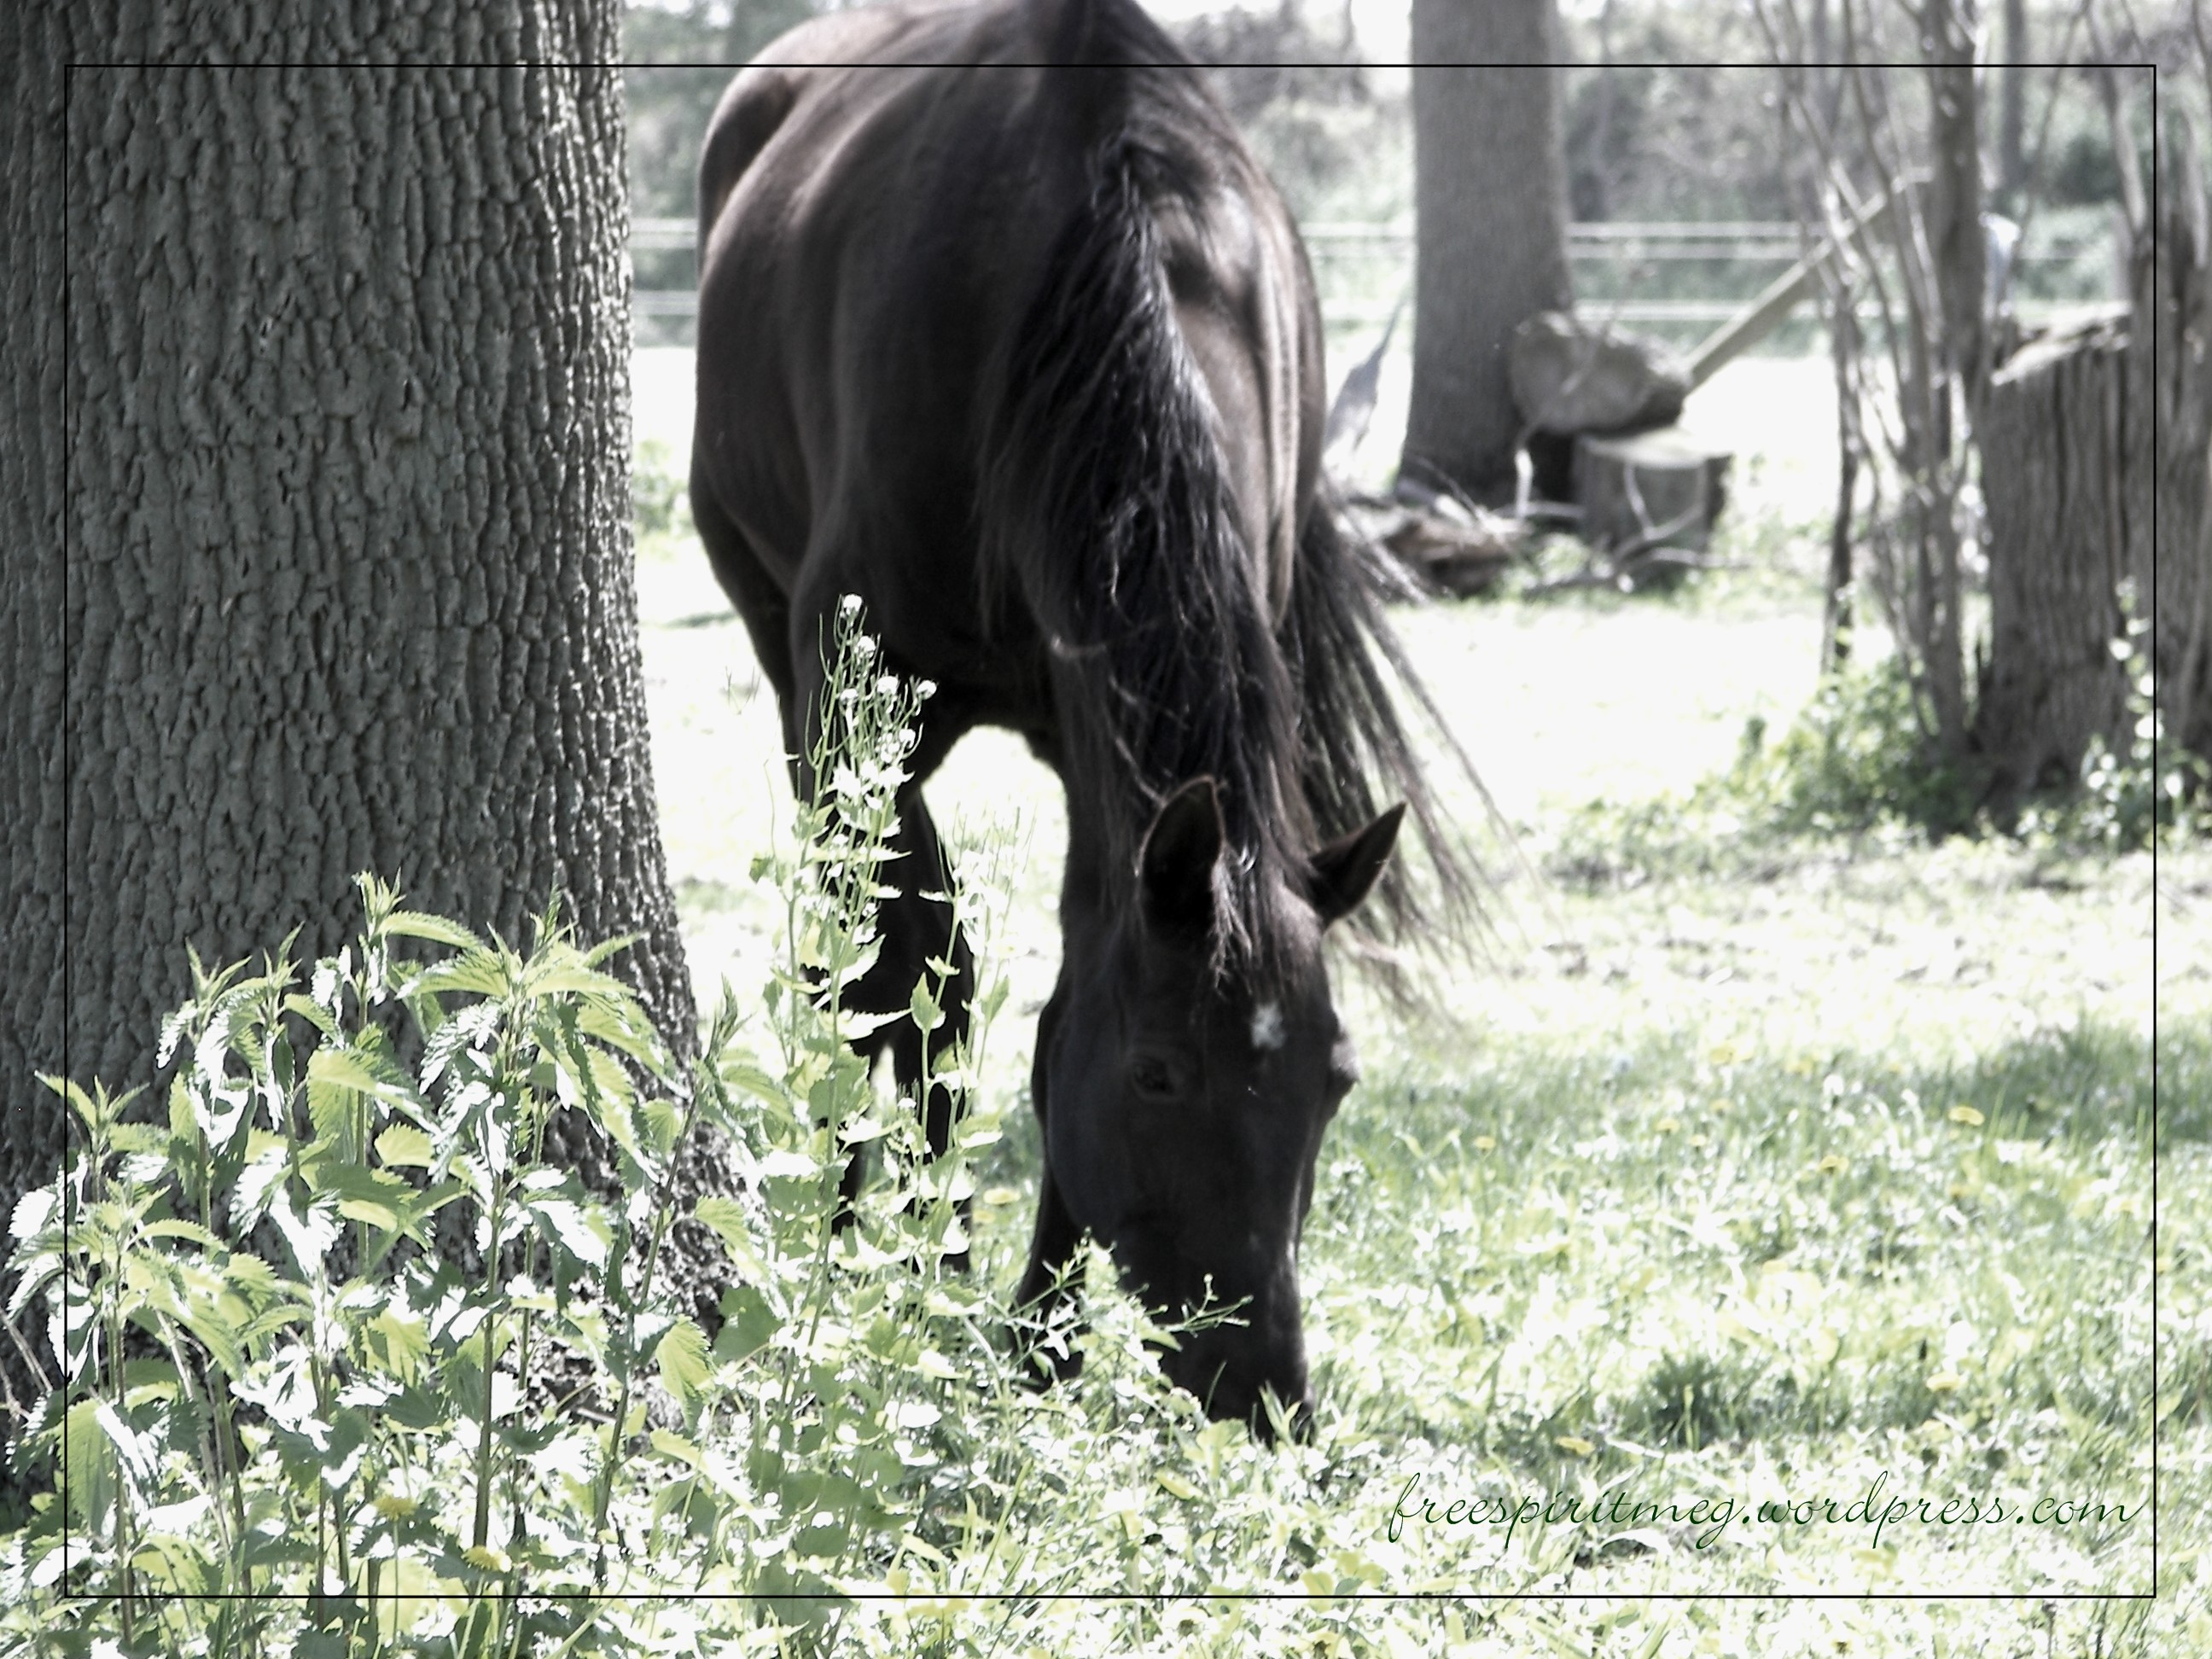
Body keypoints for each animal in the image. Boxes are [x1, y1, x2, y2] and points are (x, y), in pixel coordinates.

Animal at [690, 0, 1474, 1436]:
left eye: (1335, 1076)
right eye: (1161, 1073)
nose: (1262, 1385)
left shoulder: (1104, 764)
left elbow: (1058, 994)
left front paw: (1040, 1333)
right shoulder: (863, 718)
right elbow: (923, 987)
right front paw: (926, 1268)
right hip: (787, 669)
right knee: (853, 958)